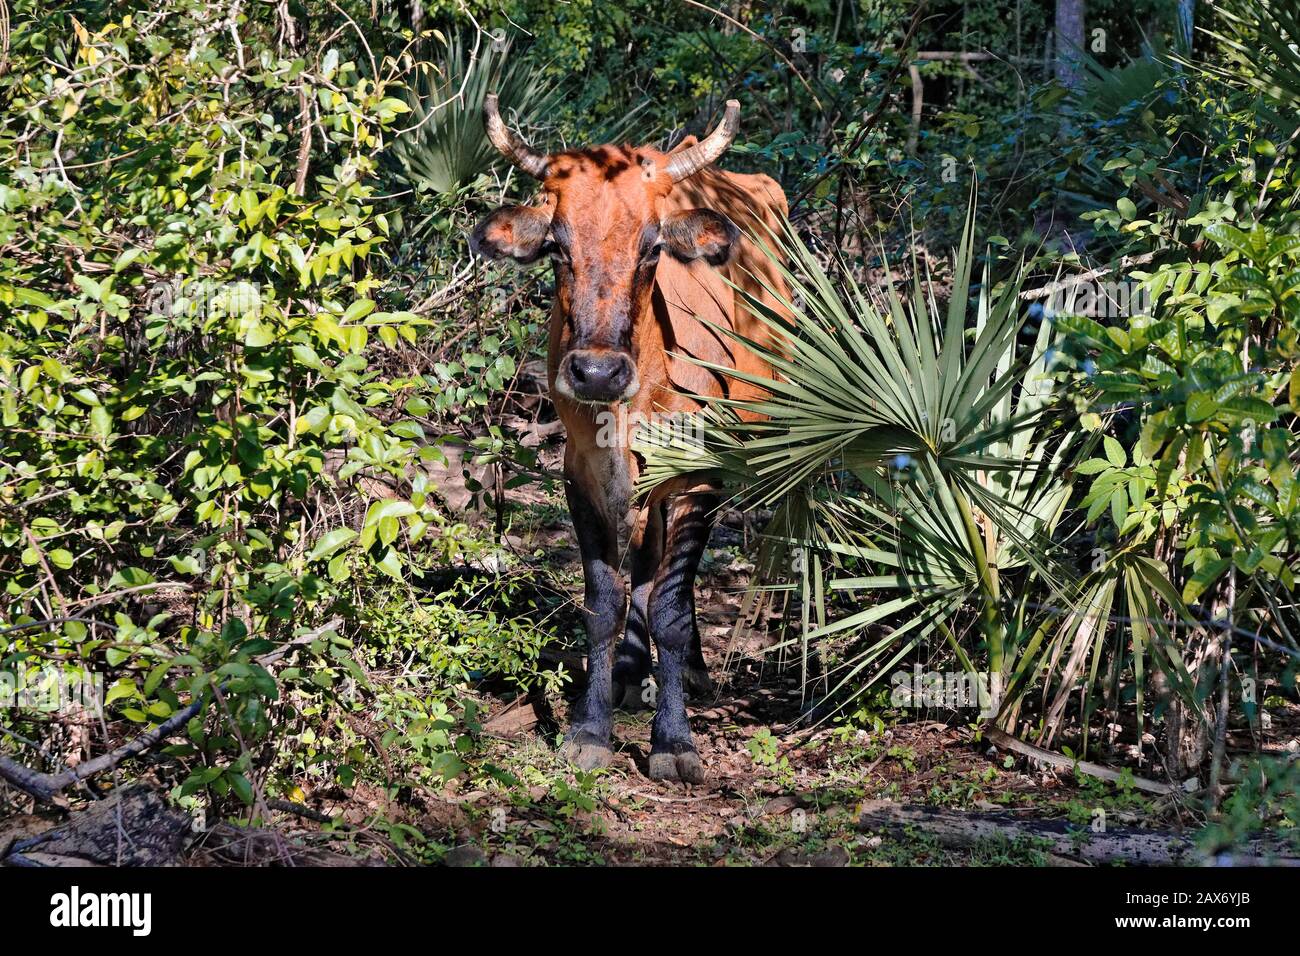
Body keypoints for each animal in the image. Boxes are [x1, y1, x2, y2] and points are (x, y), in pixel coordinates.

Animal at [470, 95, 790, 783]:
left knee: (672, 584)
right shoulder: (582, 470)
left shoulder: (694, 473)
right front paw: (591, 727)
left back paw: (687, 672)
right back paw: (627, 672)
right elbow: (605, 599)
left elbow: (668, 607)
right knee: (643, 577)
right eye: (558, 247)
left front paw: (673, 740)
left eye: (652, 248)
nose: (595, 372)